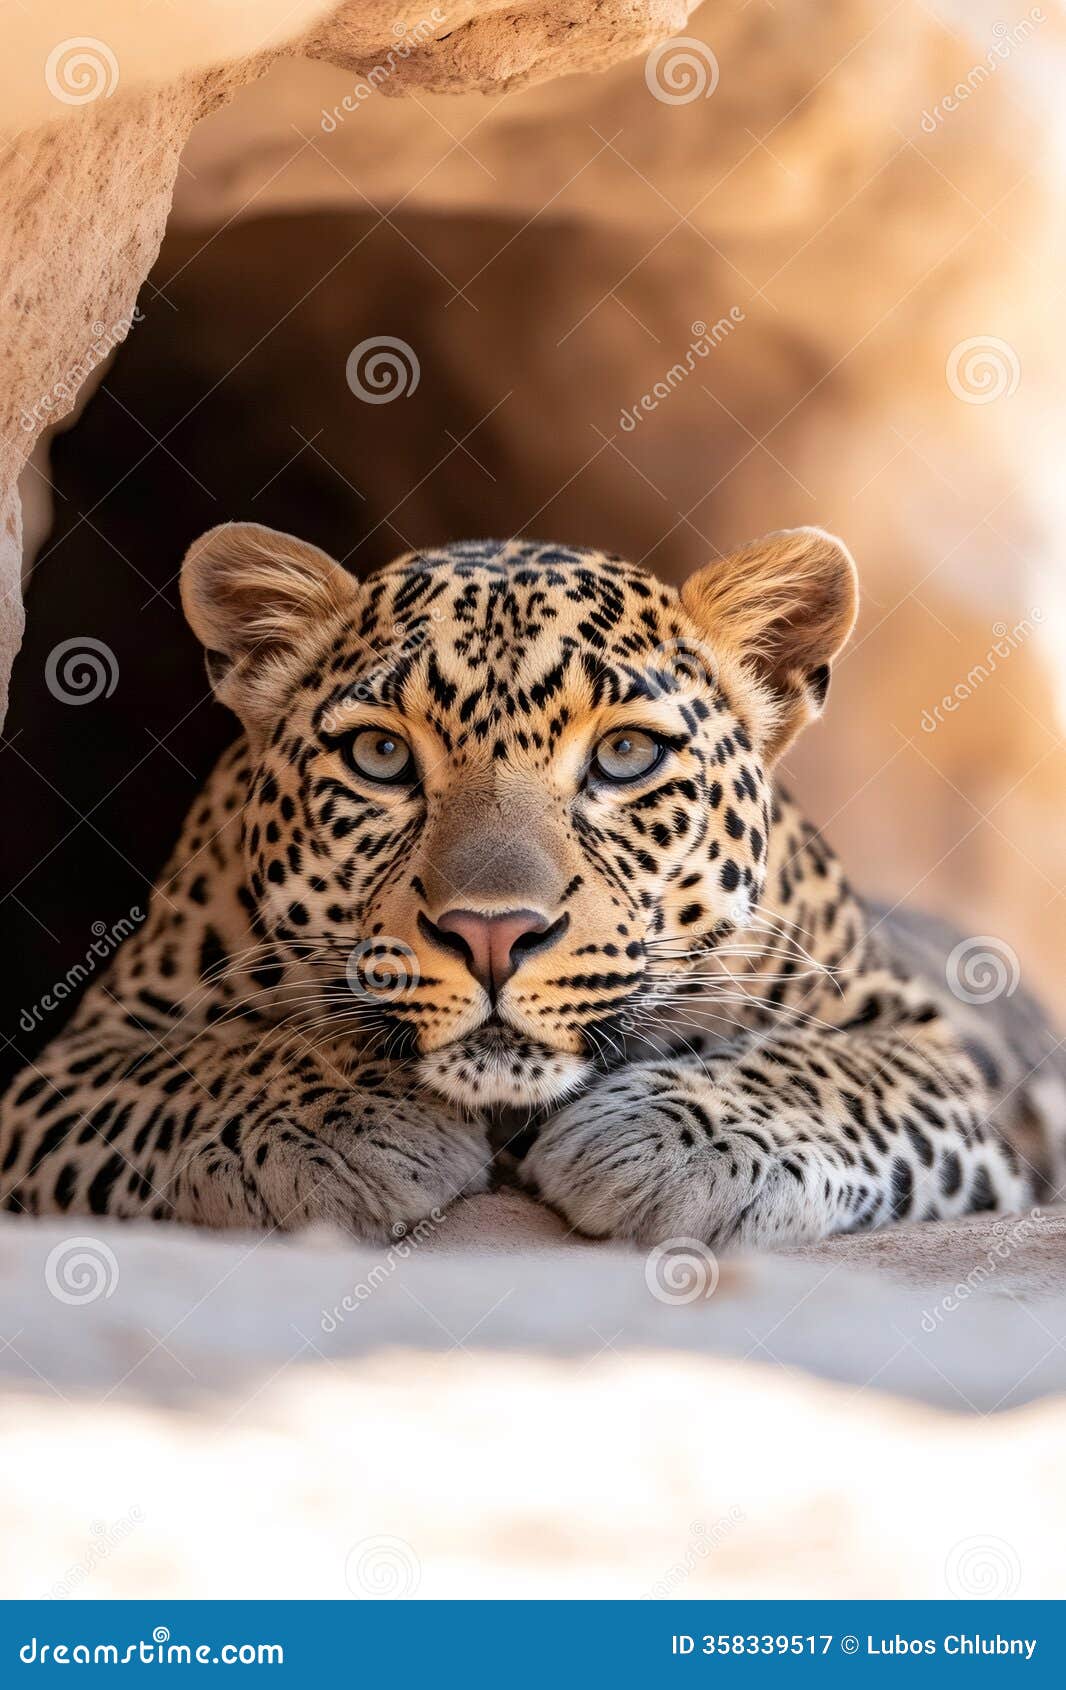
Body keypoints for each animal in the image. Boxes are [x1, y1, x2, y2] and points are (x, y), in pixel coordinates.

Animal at [2, 521, 1063, 1247]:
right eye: (382, 755)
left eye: (626, 755)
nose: (491, 935)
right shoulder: (68, 1067)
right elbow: (195, 1066)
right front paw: (344, 1125)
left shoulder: (941, 1049)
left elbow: (828, 1070)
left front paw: (668, 1144)